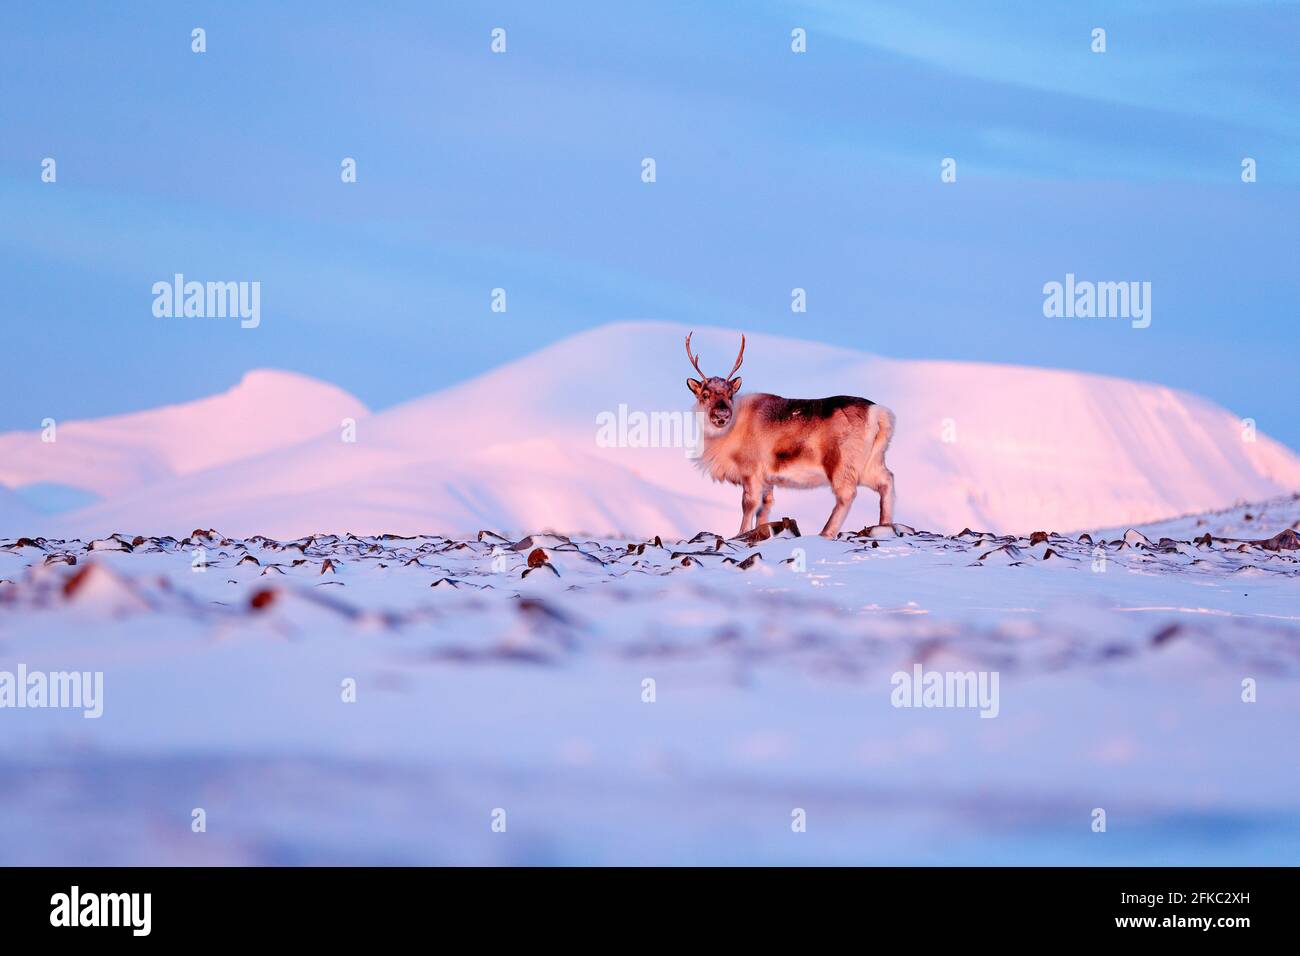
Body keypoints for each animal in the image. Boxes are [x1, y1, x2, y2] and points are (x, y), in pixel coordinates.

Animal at [685, 331, 896, 539]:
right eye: (705, 394)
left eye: (730, 394)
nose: (722, 415)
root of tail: (878, 413)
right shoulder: (767, 480)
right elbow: (765, 508)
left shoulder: (751, 471)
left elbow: (749, 504)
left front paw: (741, 533)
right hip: (871, 463)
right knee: (887, 480)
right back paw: (885, 525)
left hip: (841, 464)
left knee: (847, 495)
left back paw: (825, 532)